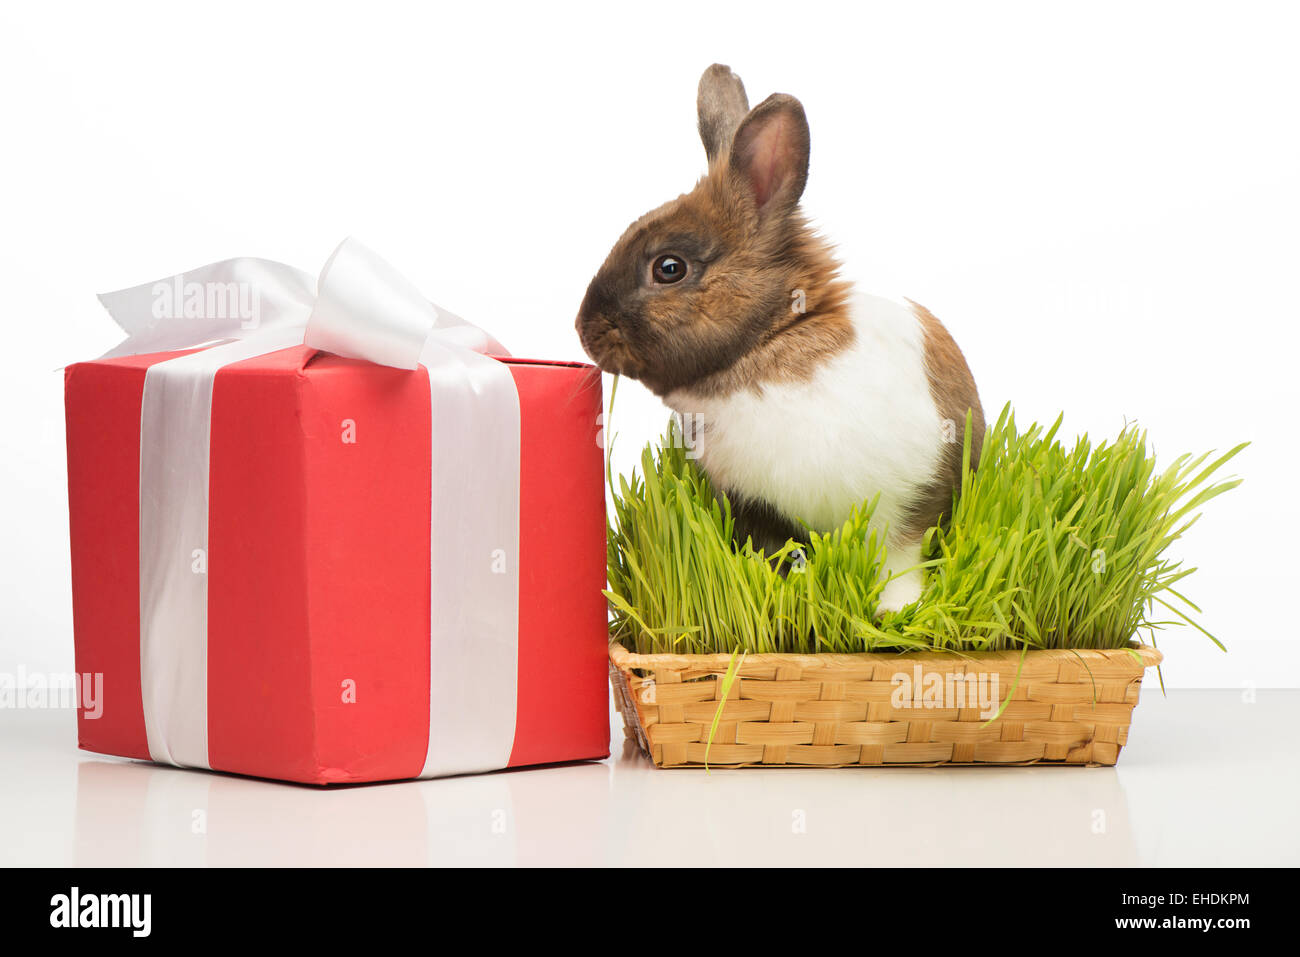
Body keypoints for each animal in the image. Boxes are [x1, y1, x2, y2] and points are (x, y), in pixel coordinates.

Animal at [575, 64, 984, 613]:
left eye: (669, 268)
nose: (583, 330)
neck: (768, 340)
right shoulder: (754, 506)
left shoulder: (909, 503)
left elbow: (899, 561)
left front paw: (897, 611)